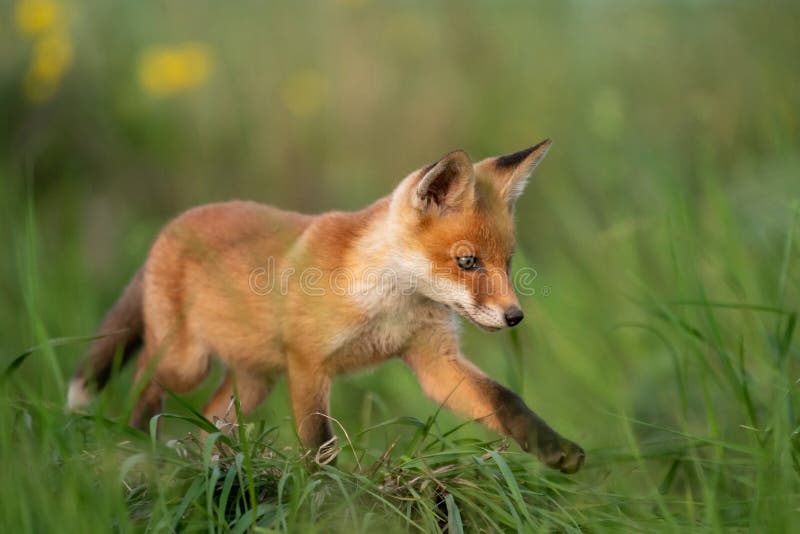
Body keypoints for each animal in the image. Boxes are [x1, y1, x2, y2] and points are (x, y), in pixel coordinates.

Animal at [67, 138, 585, 474]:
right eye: (467, 261)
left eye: (507, 262)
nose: (514, 316)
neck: (391, 306)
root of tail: (171, 225)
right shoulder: (307, 363)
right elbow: (319, 442)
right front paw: (331, 496)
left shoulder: (433, 359)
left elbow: (505, 400)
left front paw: (556, 450)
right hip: (185, 363)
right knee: (142, 384)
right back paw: (137, 443)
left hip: (252, 382)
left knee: (209, 419)